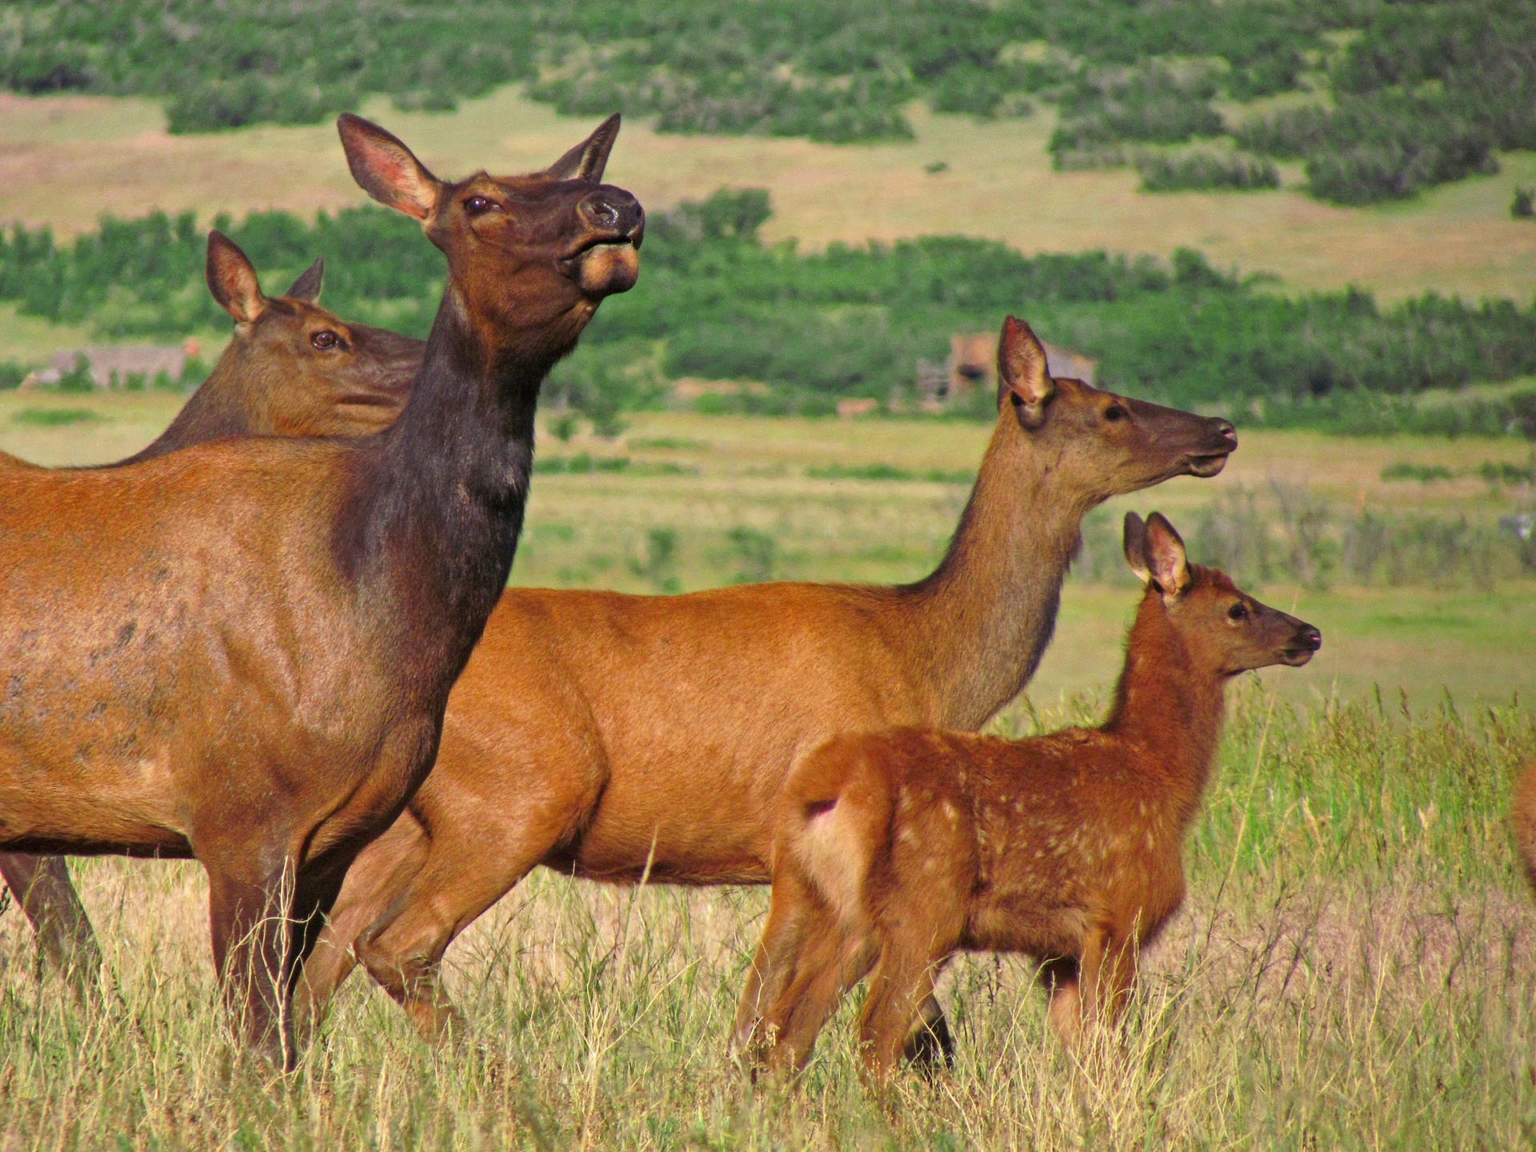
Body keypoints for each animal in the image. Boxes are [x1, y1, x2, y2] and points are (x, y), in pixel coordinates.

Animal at [296, 315, 1240, 1058]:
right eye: (1112, 408)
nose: (1221, 428)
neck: (926, 656)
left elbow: (767, 1019)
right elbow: (885, 1027)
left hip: (402, 827)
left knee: (316, 963)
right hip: (520, 792)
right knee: (395, 947)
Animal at [742, 512, 1321, 1081]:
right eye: (1237, 608)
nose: (1311, 633)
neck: (1156, 772)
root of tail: (826, 786)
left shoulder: (1057, 952)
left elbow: (1080, 1053)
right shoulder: (1121, 918)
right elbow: (1109, 1052)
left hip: (831, 908)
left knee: (786, 1030)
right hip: (924, 907)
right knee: (874, 1034)